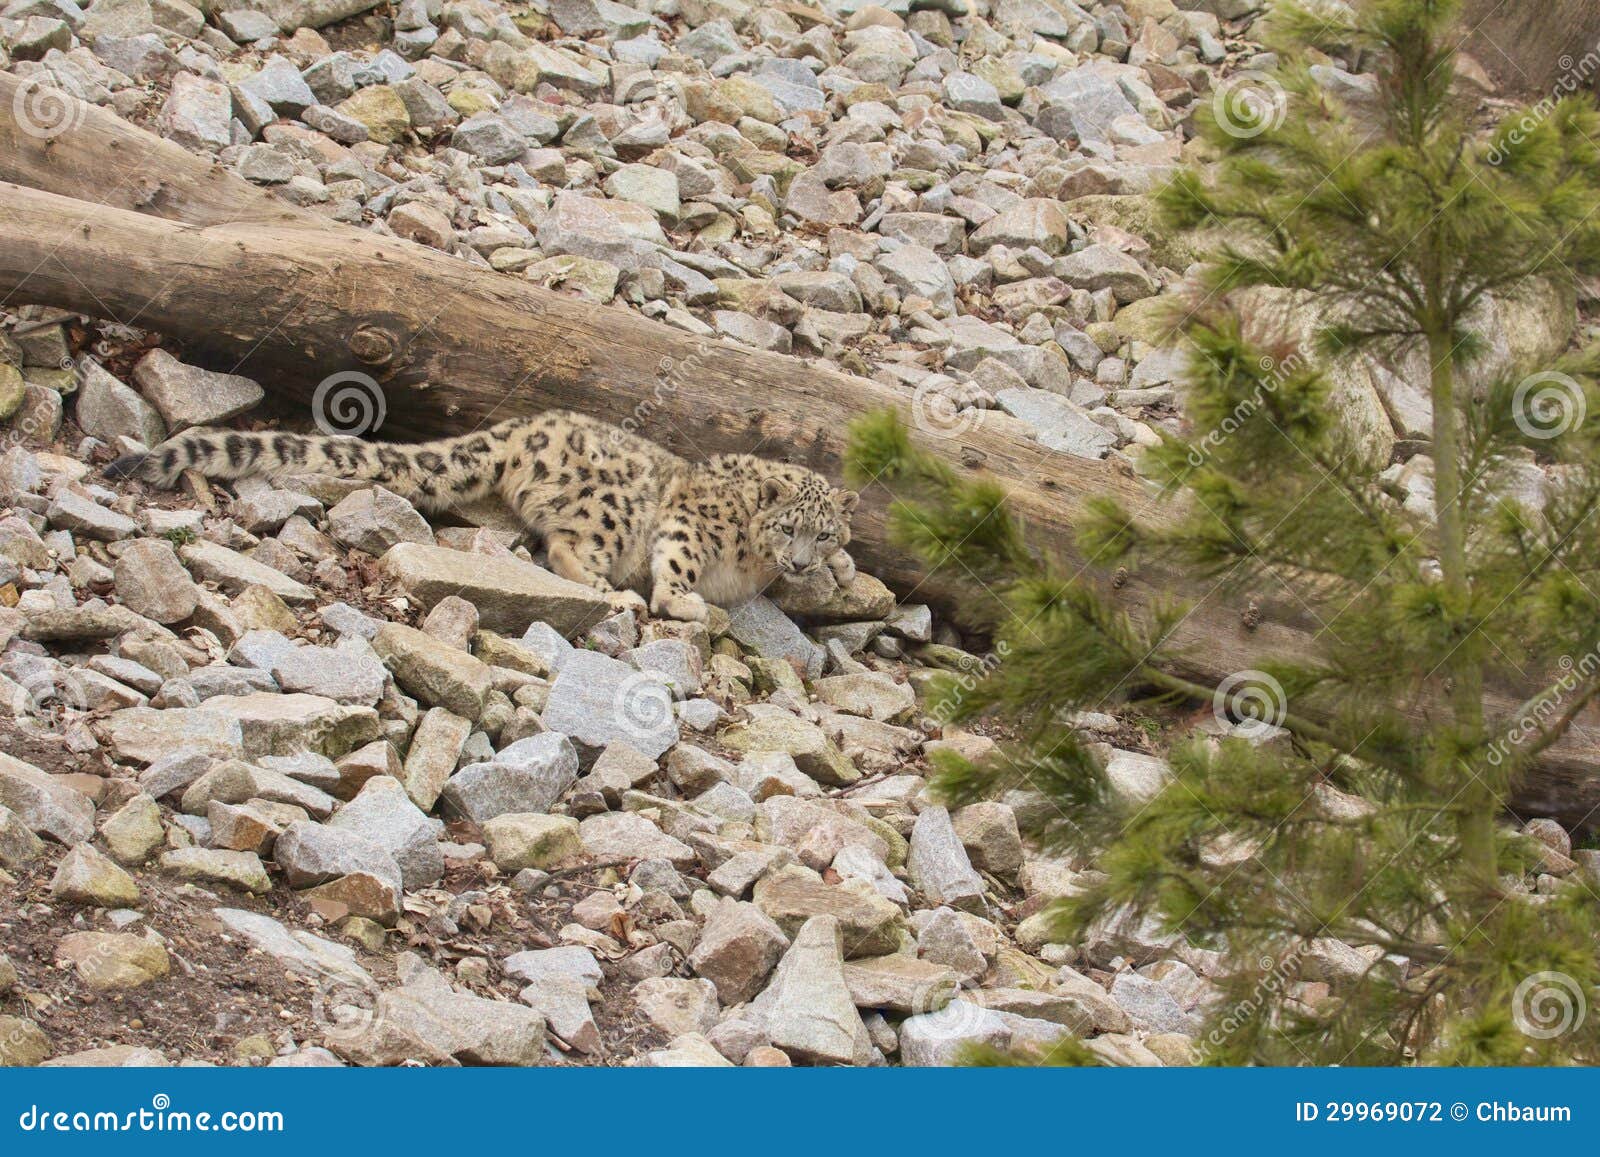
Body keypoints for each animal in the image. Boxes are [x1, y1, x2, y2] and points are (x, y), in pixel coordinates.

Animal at [105, 410, 859, 624]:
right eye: (786, 527)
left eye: (821, 532)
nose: (799, 561)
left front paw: (842, 573)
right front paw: (686, 602)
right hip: (611, 509)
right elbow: (678, 561)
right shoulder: (689, 524)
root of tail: (522, 426)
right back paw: (610, 591)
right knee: (566, 547)